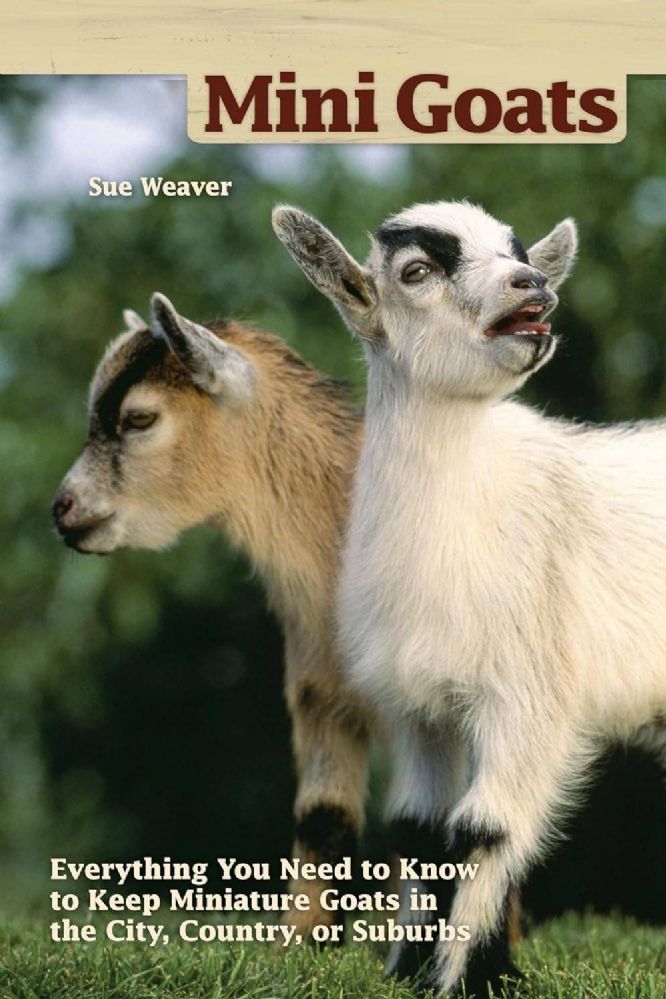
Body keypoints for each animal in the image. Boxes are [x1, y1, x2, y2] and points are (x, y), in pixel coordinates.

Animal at [273, 199, 666, 996]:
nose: (532, 284)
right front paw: (406, 969)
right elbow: (419, 829)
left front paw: (465, 977)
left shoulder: (529, 694)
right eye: (416, 271)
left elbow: (483, 830)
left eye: (520, 252)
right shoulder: (418, 705)